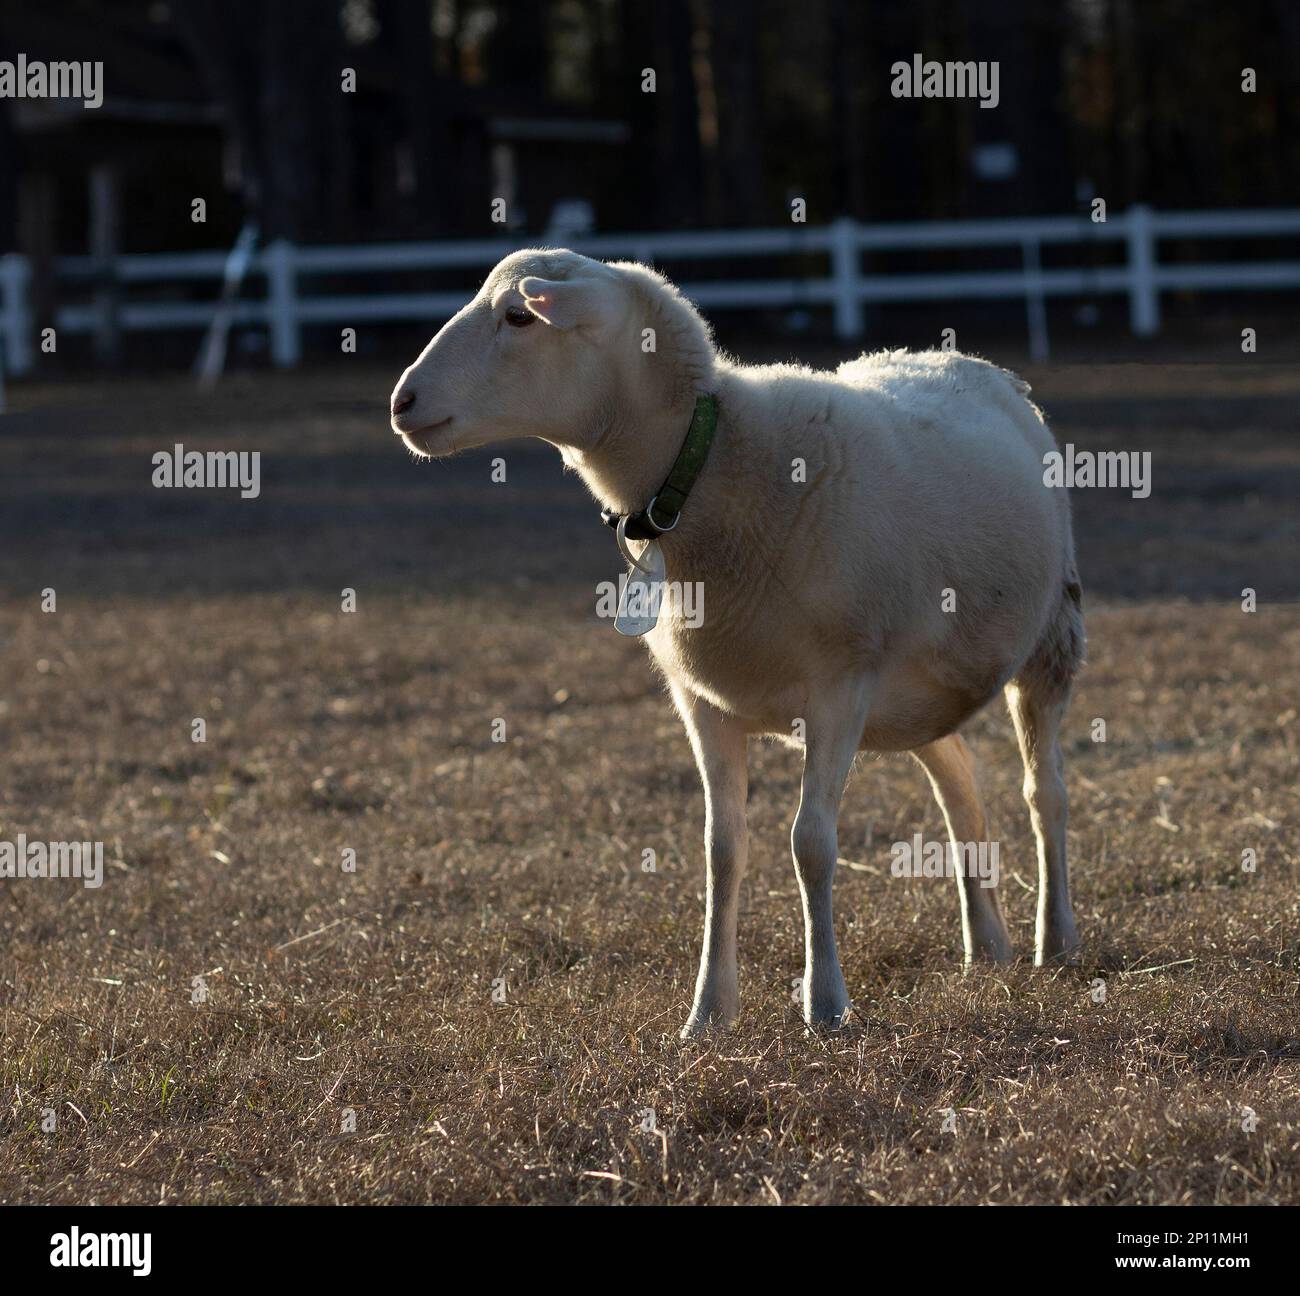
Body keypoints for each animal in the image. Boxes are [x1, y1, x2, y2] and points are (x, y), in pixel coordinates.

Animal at [390, 248, 1084, 1038]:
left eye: (518, 316)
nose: (401, 404)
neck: (702, 471)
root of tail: (969, 362)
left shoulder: (839, 688)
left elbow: (811, 845)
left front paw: (825, 1004)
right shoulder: (704, 700)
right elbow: (723, 851)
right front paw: (708, 1014)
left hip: (1048, 638)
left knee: (1045, 792)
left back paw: (1055, 941)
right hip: (920, 690)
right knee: (960, 787)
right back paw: (987, 948)